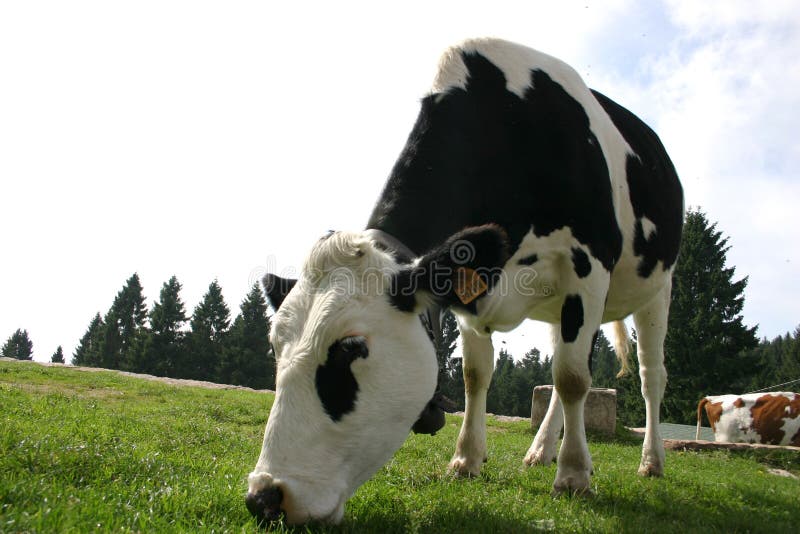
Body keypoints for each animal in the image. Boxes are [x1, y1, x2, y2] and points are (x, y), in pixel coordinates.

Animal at [246, 38, 684, 525]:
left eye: (351, 349)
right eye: (275, 347)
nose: (265, 496)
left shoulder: (586, 268)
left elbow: (573, 379)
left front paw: (573, 477)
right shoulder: (474, 297)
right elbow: (479, 375)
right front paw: (467, 460)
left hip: (657, 290)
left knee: (646, 376)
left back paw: (650, 461)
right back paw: (540, 452)